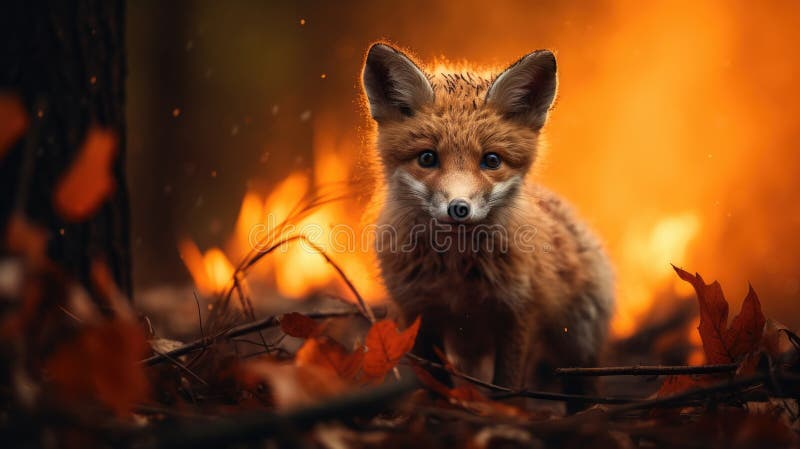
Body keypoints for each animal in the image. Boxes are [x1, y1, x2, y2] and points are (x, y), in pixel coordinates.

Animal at [361, 43, 614, 403]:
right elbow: (434, 381)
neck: (456, 275)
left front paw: (505, 413)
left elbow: (507, 384)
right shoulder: (418, 311)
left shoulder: (518, 312)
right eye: (427, 158)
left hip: (579, 345)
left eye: (491, 160)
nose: (458, 208)